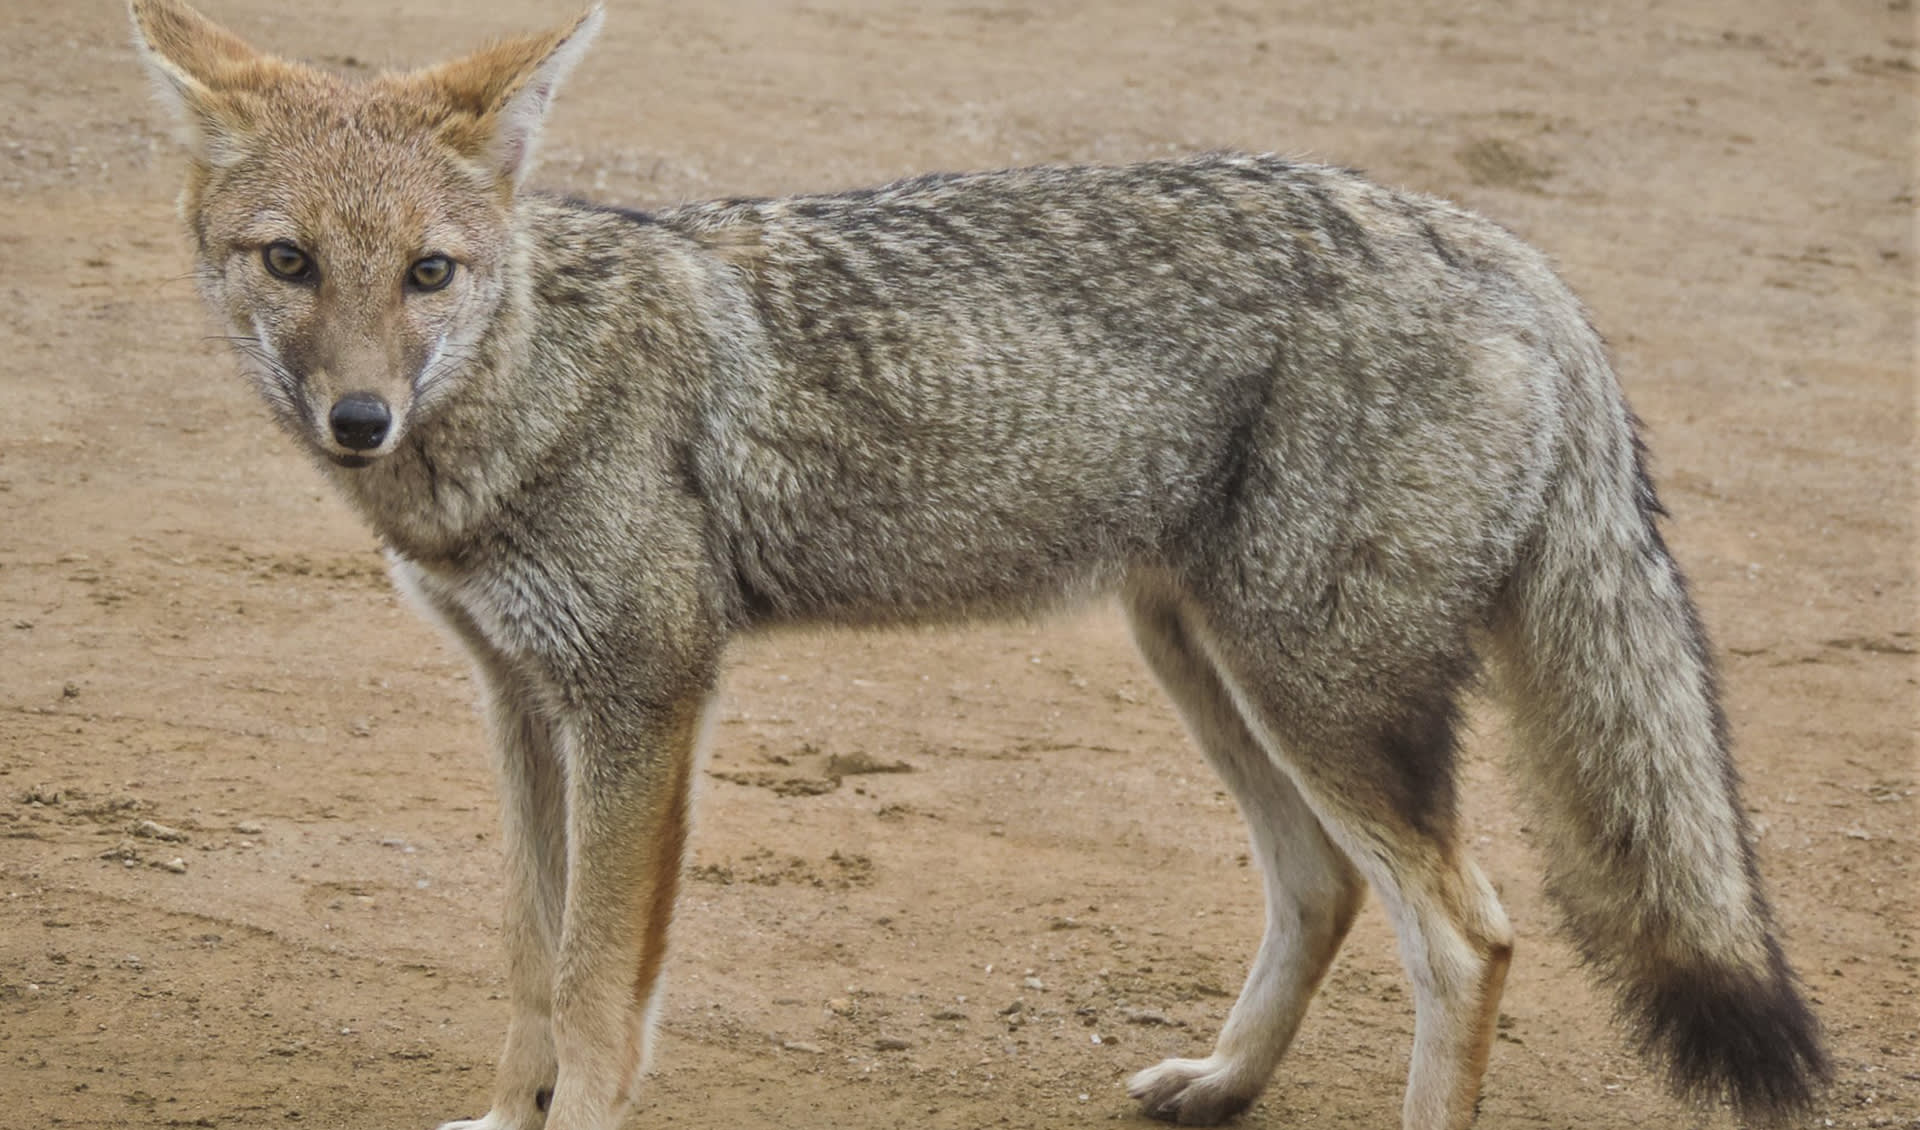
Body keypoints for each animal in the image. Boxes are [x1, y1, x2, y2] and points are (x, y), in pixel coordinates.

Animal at [130, 2, 1829, 1128]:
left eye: (430, 271)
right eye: (291, 263)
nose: (359, 418)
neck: (535, 385)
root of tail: (1504, 248)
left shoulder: (644, 699)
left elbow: (603, 991)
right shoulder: (519, 704)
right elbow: (530, 967)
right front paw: (504, 1114)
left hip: (1315, 694)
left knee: (1464, 932)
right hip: (1209, 664)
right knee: (1325, 881)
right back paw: (1219, 1080)